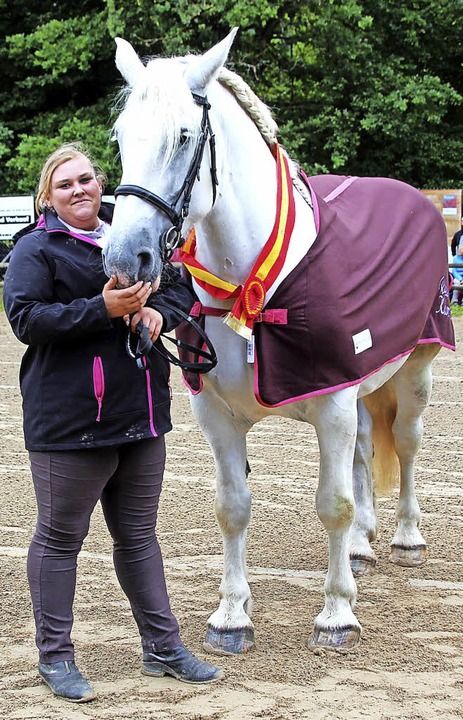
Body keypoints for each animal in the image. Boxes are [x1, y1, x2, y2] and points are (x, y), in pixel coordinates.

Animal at [103, 28, 455, 655]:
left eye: (184, 137)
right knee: (365, 452)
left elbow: (333, 505)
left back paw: (406, 538)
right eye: (121, 137)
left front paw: (336, 615)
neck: (258, 285)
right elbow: (233, 508)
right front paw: (230, 616)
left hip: (416, 369)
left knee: (407, 445)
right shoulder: (217, 413)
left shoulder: (332, 404)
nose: (125, 259)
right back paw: (360, 547)